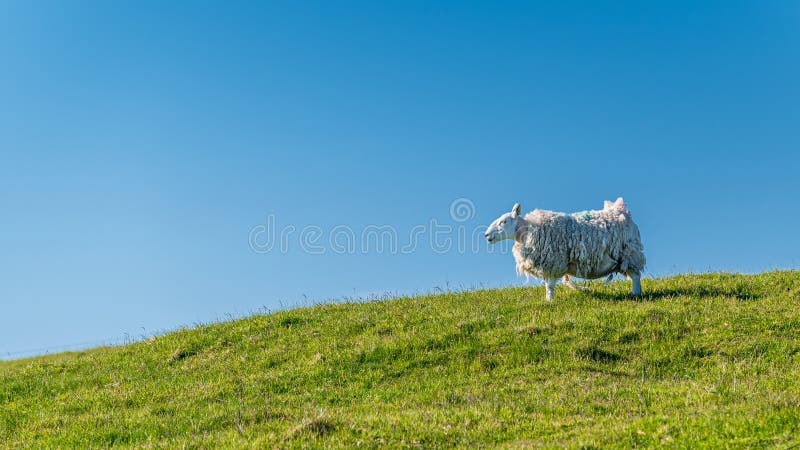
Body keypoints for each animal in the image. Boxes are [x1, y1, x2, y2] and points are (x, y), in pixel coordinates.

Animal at [484, 198, 645, 300]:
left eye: (504, 222)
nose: (486, 235)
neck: (529, 230)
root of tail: (621, 211)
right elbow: (548, 285)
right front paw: (548, 300)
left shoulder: (552, 262)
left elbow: (550, 285)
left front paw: (549, 301)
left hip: (630, 254)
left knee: (636, 276)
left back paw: (636, 294)